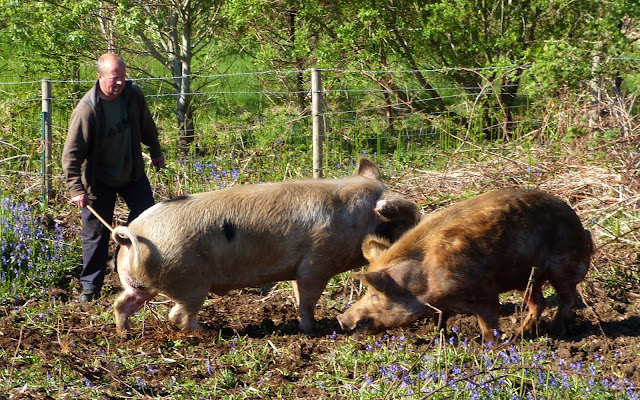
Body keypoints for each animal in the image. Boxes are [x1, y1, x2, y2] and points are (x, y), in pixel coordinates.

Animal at [111, 157, 420, 336]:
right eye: (408, 220)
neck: (355, 220)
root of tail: (134, 233)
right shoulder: (315, 264)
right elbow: (308, 300)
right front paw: (313, 330)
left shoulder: (299, 268)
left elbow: (299, 297)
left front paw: (306, 327)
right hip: (189, 282)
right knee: (178, 315)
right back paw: (212, 332)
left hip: (141, 285)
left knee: (122, 303)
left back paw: (125, 334)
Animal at [337, 188, 594, 341]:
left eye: (375, 295)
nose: (342, 319)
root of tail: (581, 227)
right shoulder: (442, 306)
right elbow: (440, 321)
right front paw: (437, 339)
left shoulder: (484, 292)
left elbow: (487, 322)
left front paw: (490, 346)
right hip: (526, 278)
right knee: (538, 303)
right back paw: (522, 333)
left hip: (564, 266)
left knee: (567, 299)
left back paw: (555, 329)